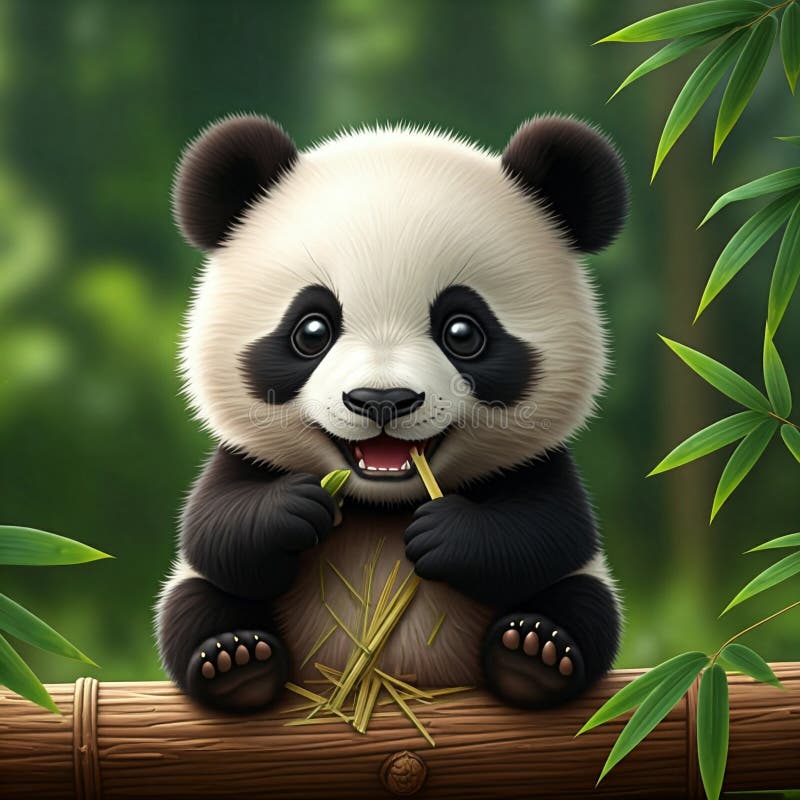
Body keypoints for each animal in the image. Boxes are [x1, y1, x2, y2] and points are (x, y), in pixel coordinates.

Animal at [155, 113, 628, 713]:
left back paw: (534, 654)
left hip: (583, 592)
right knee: (195, 601)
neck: (382, 507)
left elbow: (546, 531)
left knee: (584, 602)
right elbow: (213, 530)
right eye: (312, 330)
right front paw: (295, 508)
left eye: (463, 332)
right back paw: (235, 662)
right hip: (195, 595)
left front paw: (443, 533)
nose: (382, 400)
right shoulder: (240, 461)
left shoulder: (541, 467)